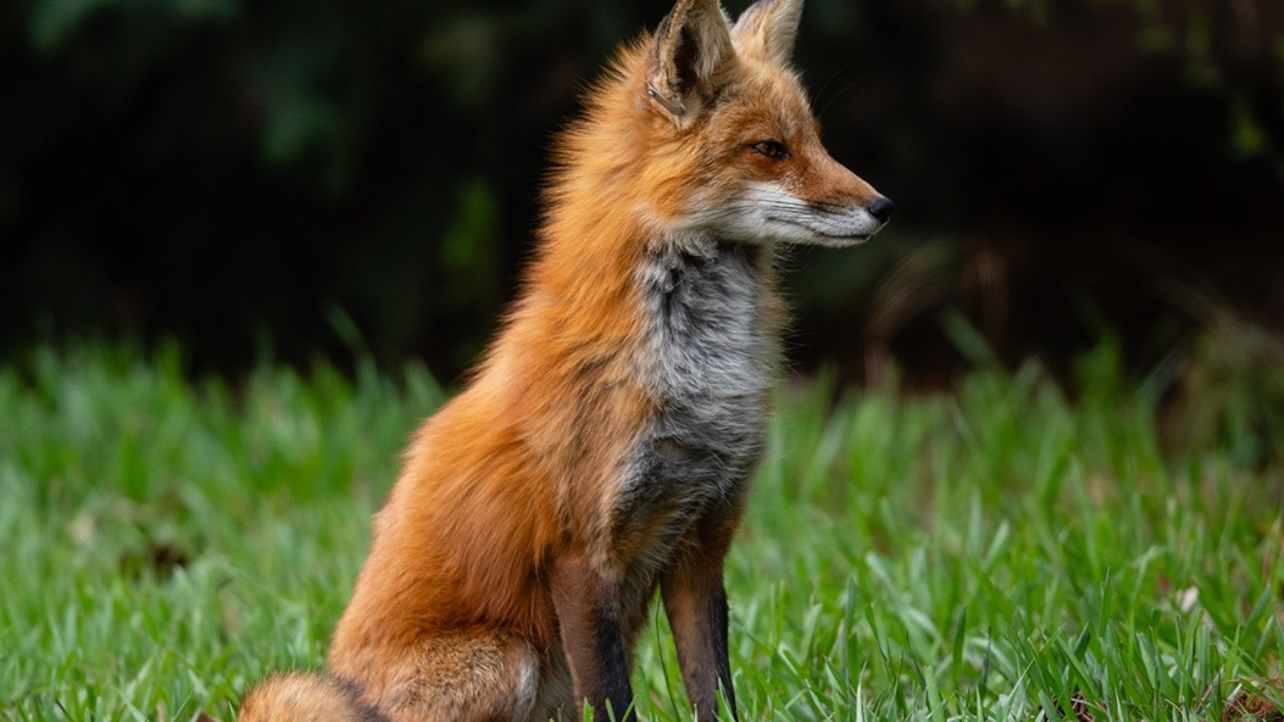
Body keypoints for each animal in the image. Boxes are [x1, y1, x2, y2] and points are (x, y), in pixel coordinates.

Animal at [237, 0, 891, 719]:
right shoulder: (582, 555)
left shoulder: (703, 542)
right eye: (770, 149)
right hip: (511, 660)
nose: (883, 207)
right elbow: (612, 699)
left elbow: (714, 690)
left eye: (818, 141)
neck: (695, 375)